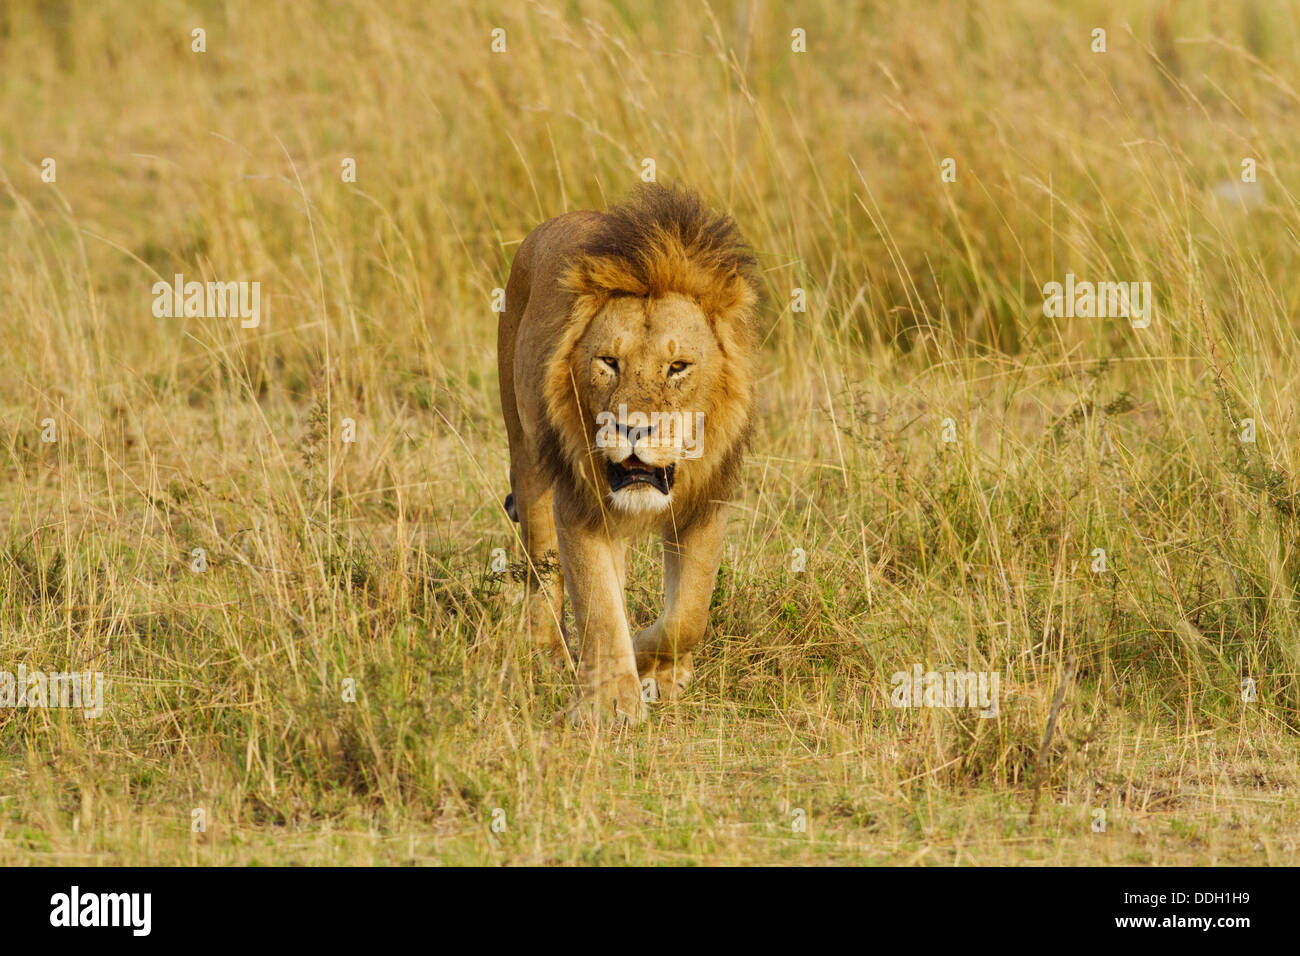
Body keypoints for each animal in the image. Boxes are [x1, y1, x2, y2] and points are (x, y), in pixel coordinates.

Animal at [497, 183, 759, 725]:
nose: (632, 428)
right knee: (542, 570)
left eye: (678, 367)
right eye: (609, 362)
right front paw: (610, 701)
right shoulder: (577, 502)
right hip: (528, 460)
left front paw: (650, 666)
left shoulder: (705, 506)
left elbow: (688, 614)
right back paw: (548, 654)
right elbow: (597, 605)